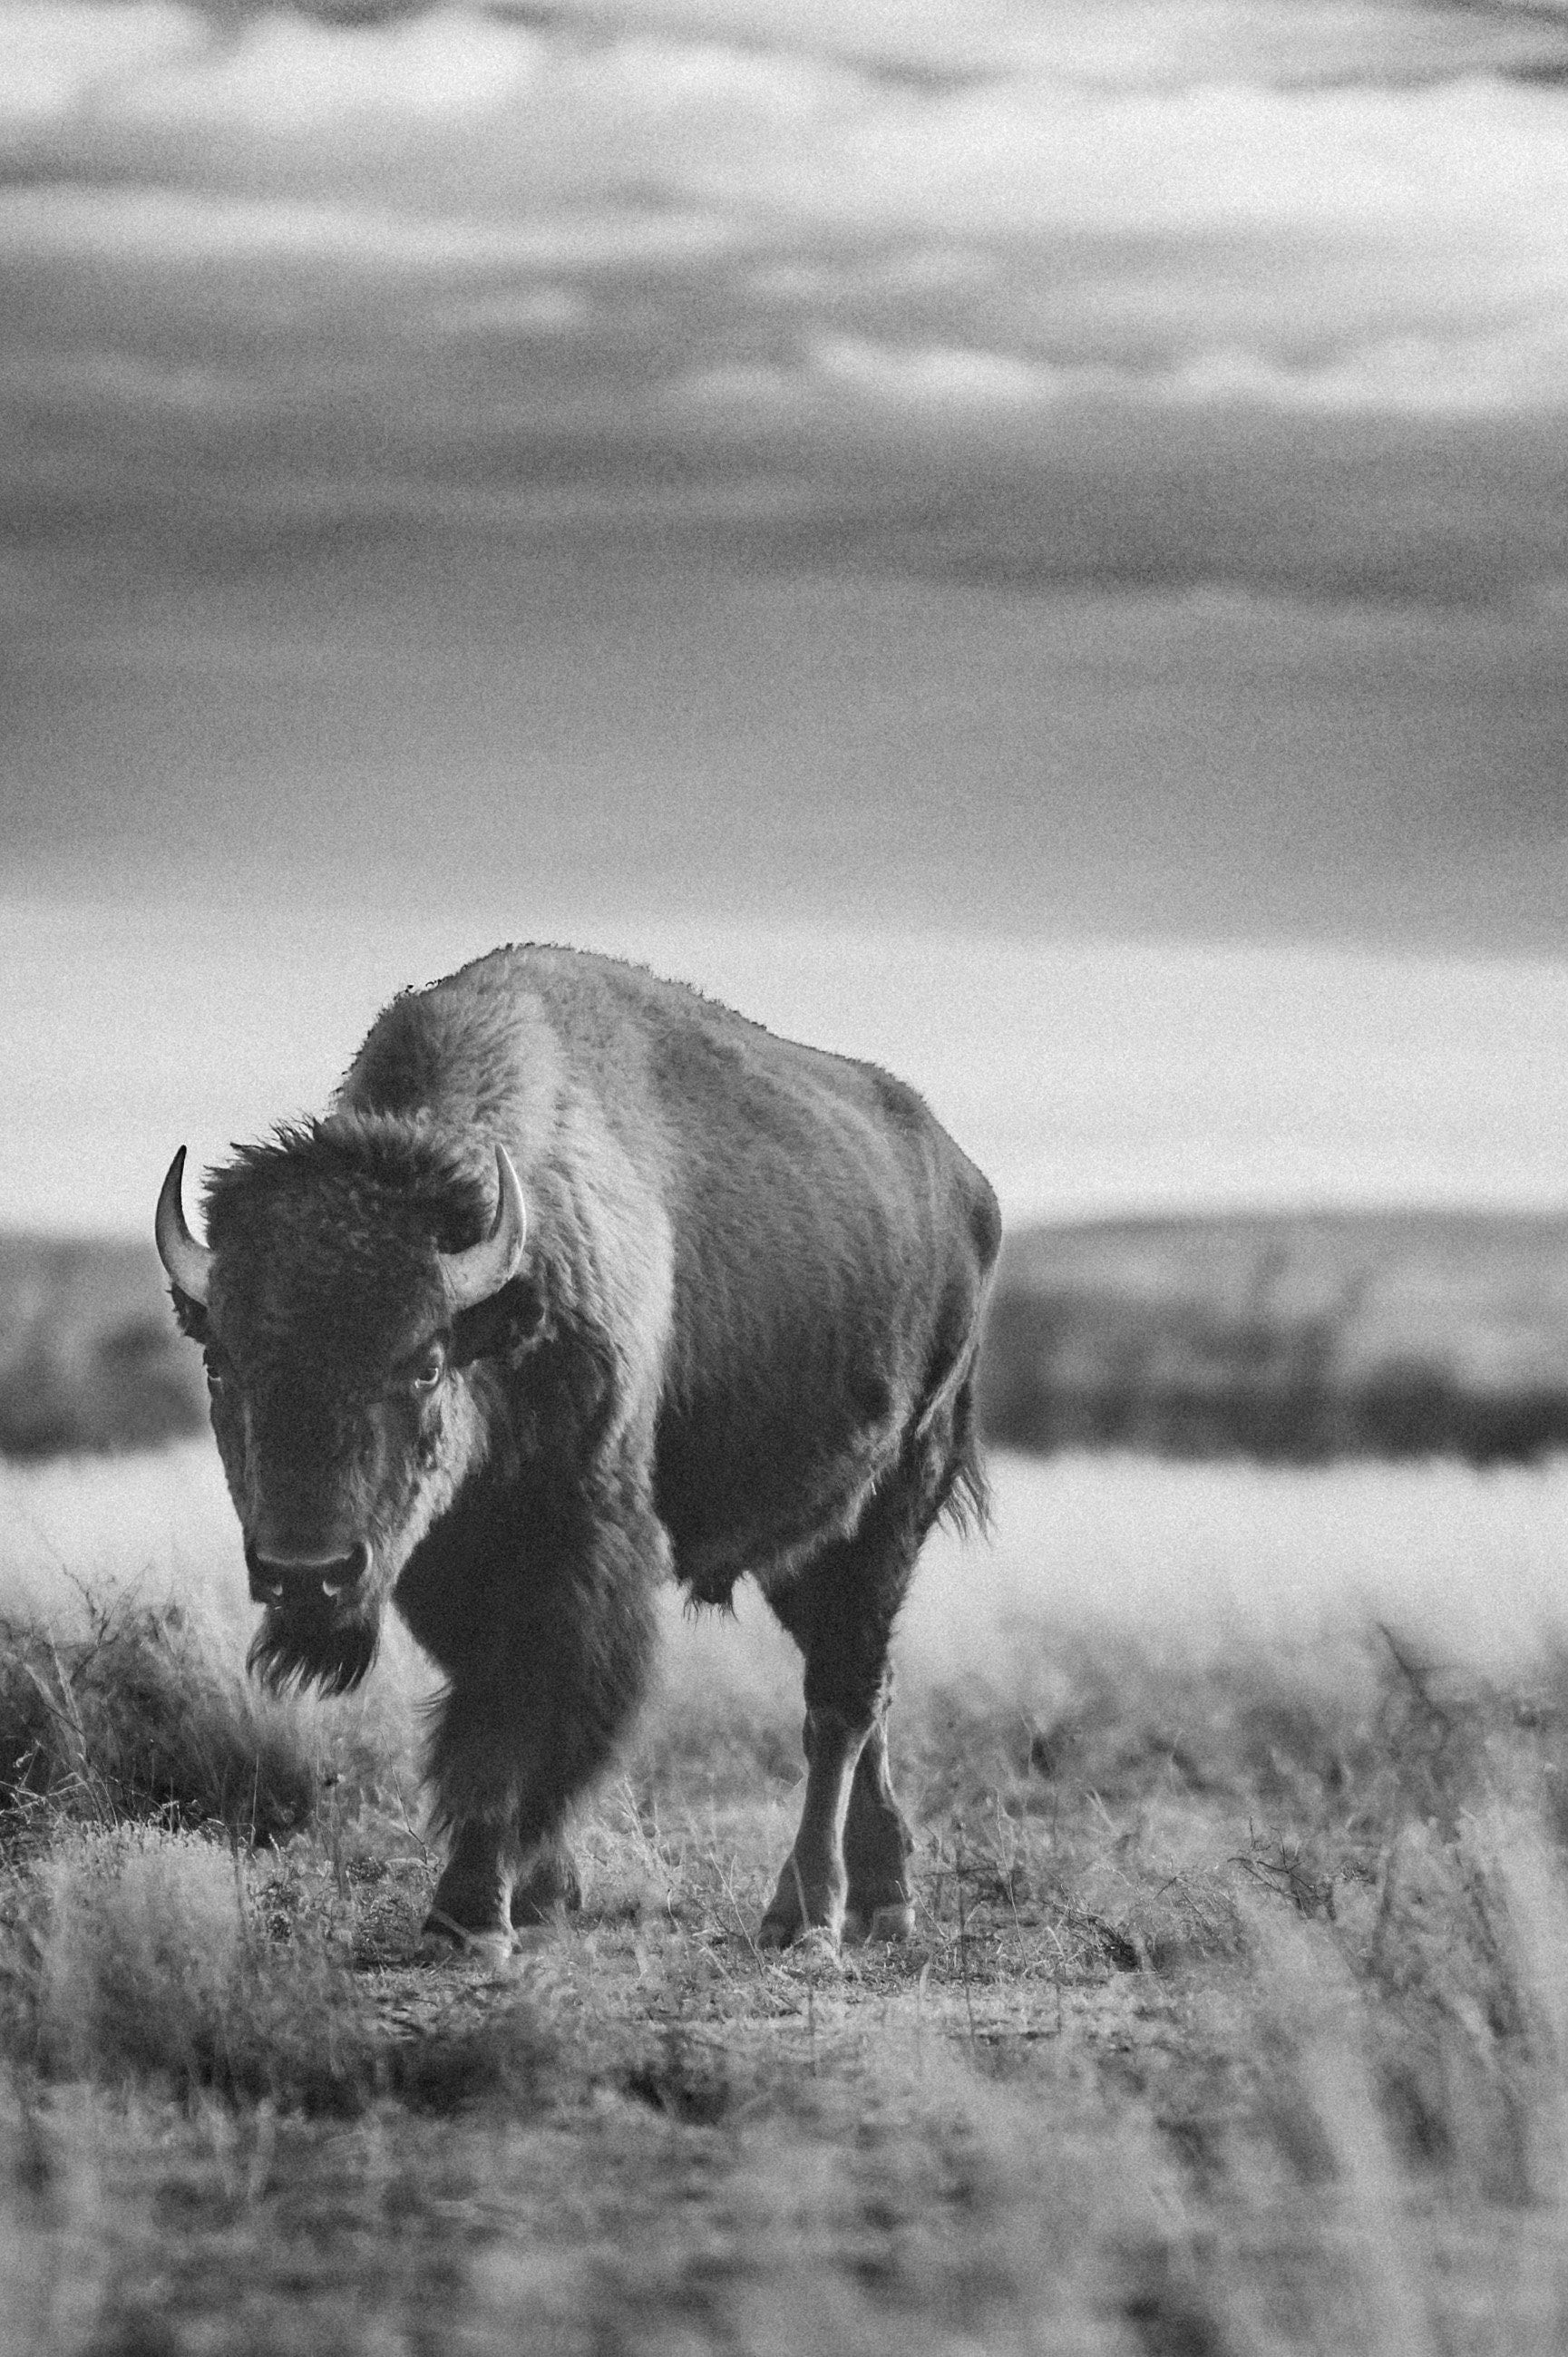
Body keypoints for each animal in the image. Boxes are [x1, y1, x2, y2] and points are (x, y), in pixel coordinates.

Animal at [156, 946, 1000, 1958]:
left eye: (426, 1358)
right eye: (220, 1359)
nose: (303, 1573)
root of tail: (965, 1182)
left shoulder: (570, 1556)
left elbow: (516, 1719)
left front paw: (471, 1915)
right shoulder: (438, 1563)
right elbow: (485, 1702)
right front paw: (542, 1893)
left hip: (893, 1499)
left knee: (839, 1702)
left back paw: (808, 1917)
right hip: (805, 1542)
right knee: (861, 1688)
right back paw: (880, 1898)